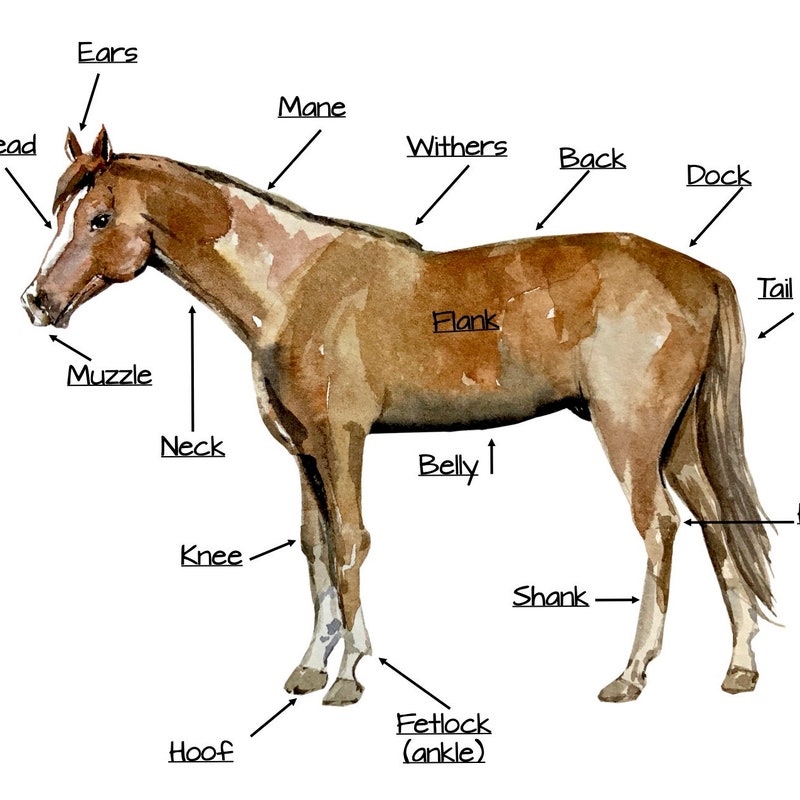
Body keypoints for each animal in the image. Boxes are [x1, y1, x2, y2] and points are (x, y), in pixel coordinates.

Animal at [21, 127, 772, 705]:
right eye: (58, 212)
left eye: (98, 218)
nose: (36, 301)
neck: (292, 289)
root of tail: (702, 274)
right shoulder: (303, 450)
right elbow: (316, 546)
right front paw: (308, 669)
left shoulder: (342, 438)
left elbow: (352, 543)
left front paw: (349, 677)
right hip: (678, 441)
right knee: (716, 524)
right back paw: (739, 669)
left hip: (631, 434)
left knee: (659, 529)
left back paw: (631, 675)